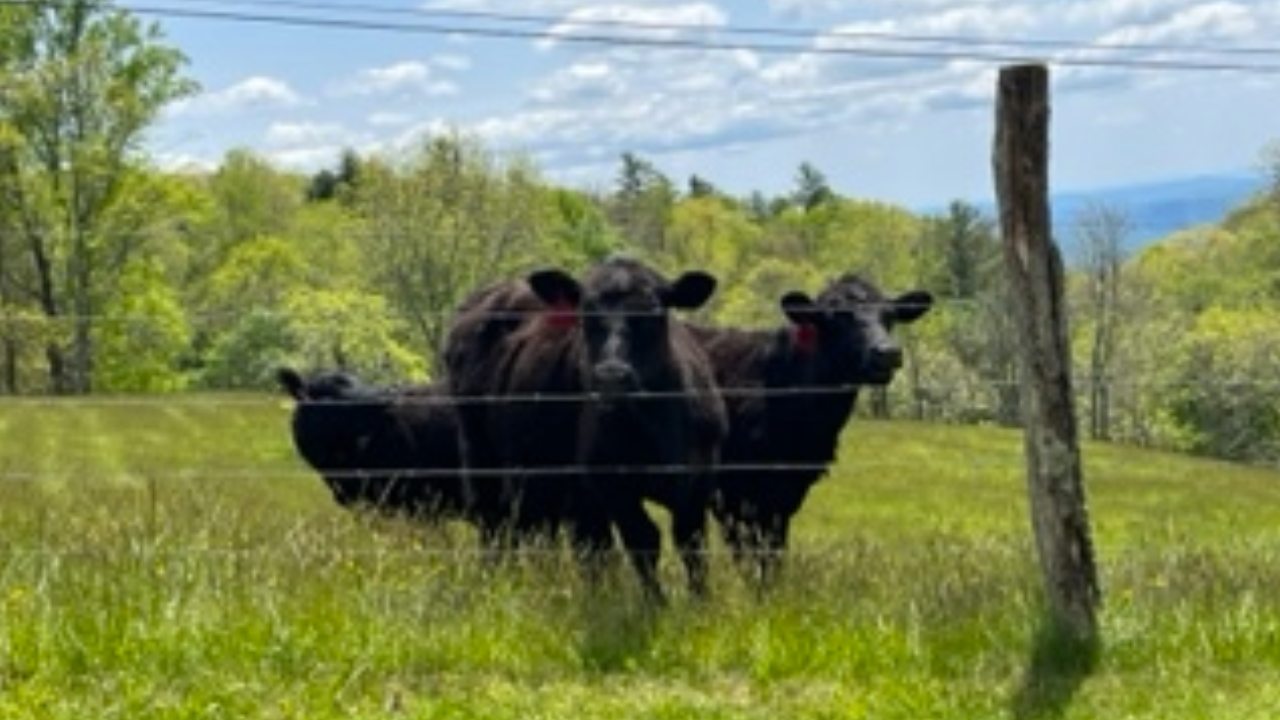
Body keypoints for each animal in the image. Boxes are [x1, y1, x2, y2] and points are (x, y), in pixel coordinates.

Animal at [444, 256, 728, 602]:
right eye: (586, 315)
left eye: (651, 313)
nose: (611, 375)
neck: (650, 431)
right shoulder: (610, 482)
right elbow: (643, 539)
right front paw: (656, 603)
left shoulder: (698, 480)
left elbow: (691, 543)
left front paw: (701, 601)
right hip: (485, 462)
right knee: (498, 526)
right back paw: (497, 583)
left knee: (565, 539)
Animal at [686, 274, 933, 587]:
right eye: (837, 317)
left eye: (889, 316)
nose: (887, 353)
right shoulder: (732, 493)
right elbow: (747, 553)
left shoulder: (786, 492)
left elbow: (774, 552)